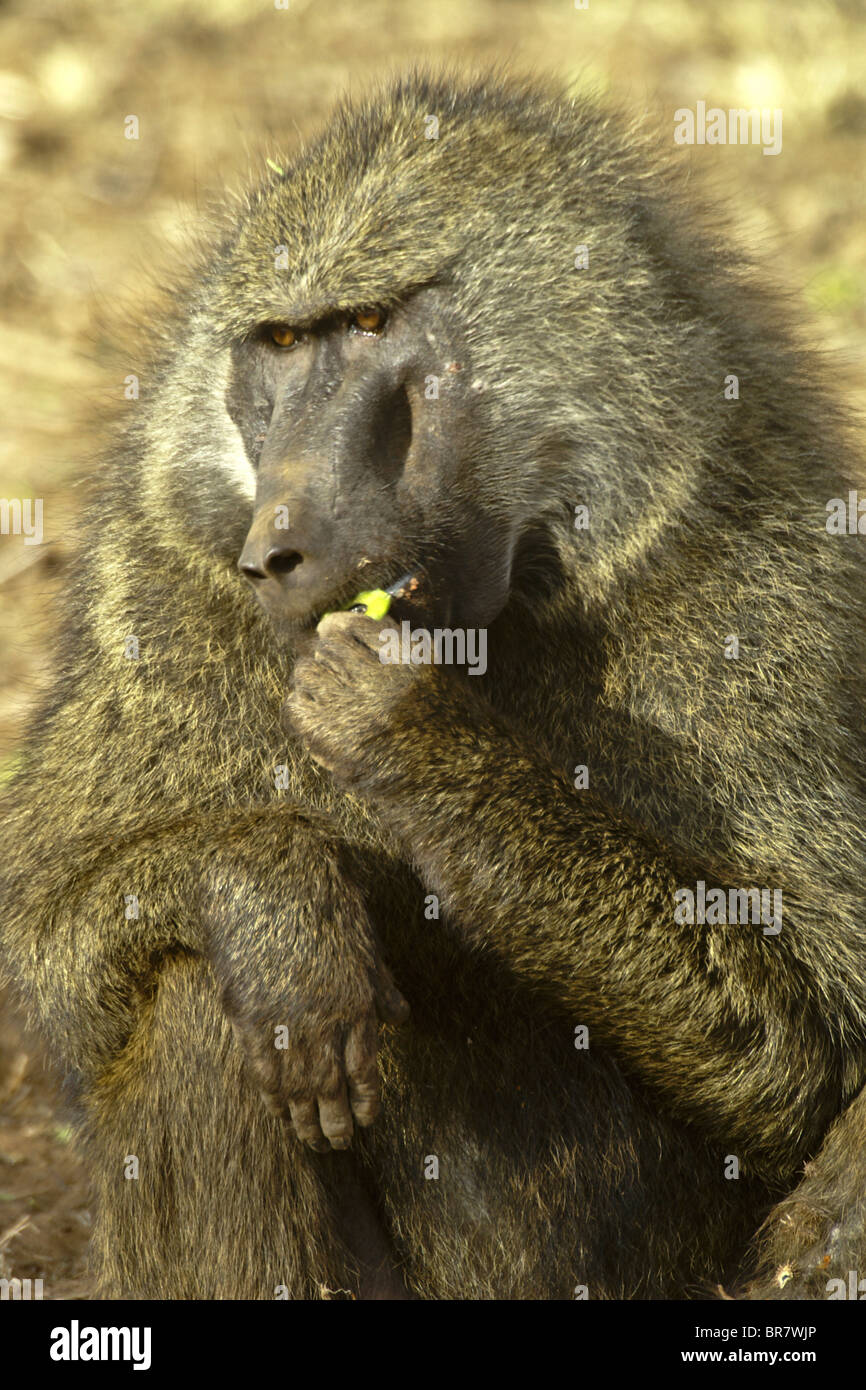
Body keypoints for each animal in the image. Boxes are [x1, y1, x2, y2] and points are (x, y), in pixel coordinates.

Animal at [1, 68, 865, 1301]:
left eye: (369, 324)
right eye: (279, 341)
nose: (279, 550)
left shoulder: (770, 588)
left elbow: (814, 1028)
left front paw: (409, 733)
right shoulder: (155, 579)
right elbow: (56, 942)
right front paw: (274, 910)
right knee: (196, 1007)